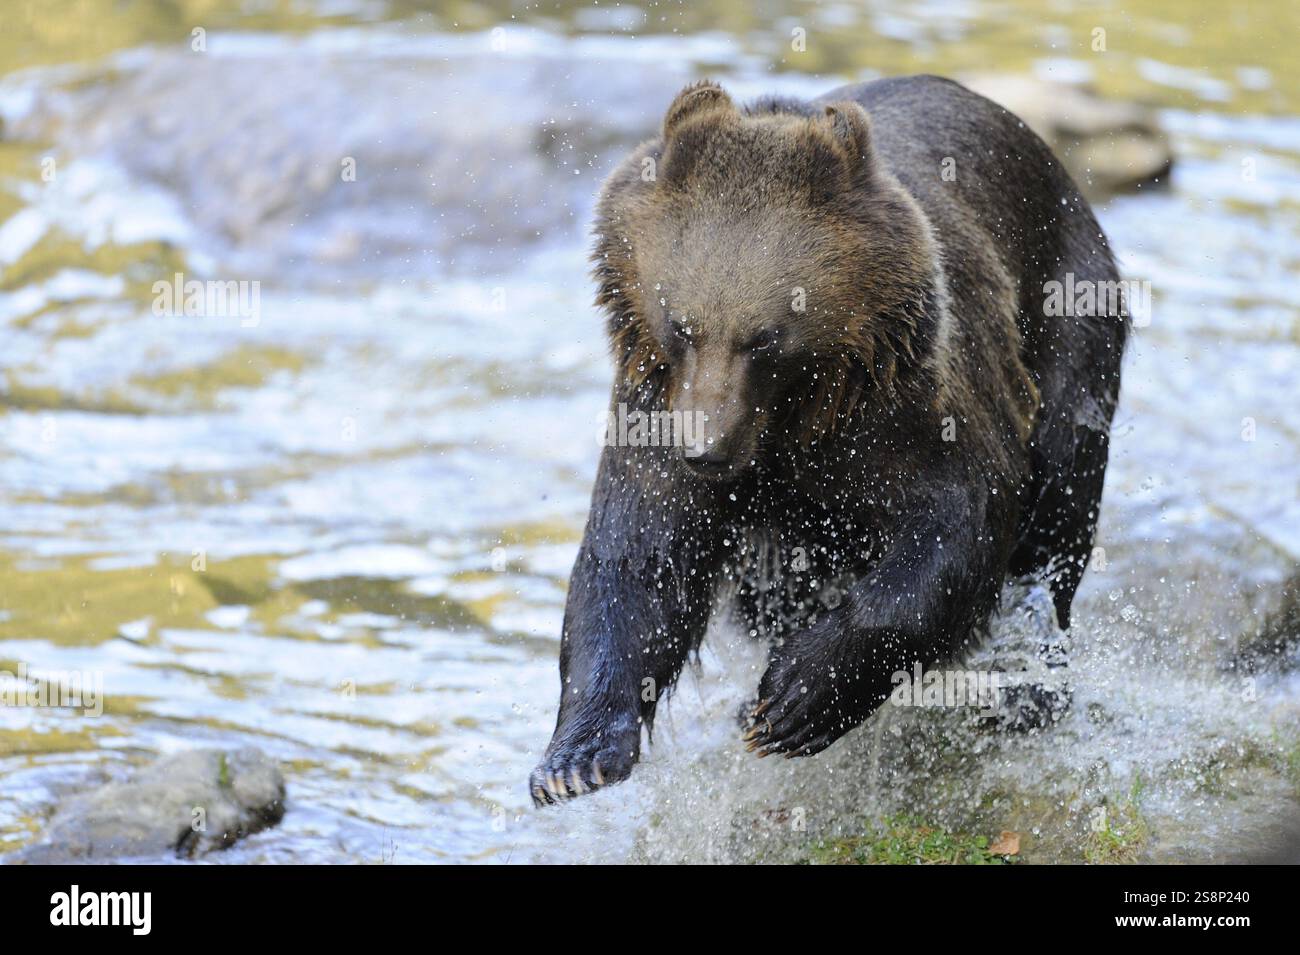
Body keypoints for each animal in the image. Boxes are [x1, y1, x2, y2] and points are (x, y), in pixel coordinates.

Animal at [529, 75, 1128, 805]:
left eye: (765, 336)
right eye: (683, 324)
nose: (705, 449)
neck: (794, 416)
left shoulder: (912, 405)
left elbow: (954, 532)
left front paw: (795, 698)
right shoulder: (654, 404)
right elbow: (638, 557)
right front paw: (575, 757)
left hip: (1069, 319)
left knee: (1058, 516)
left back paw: (1027, 691)